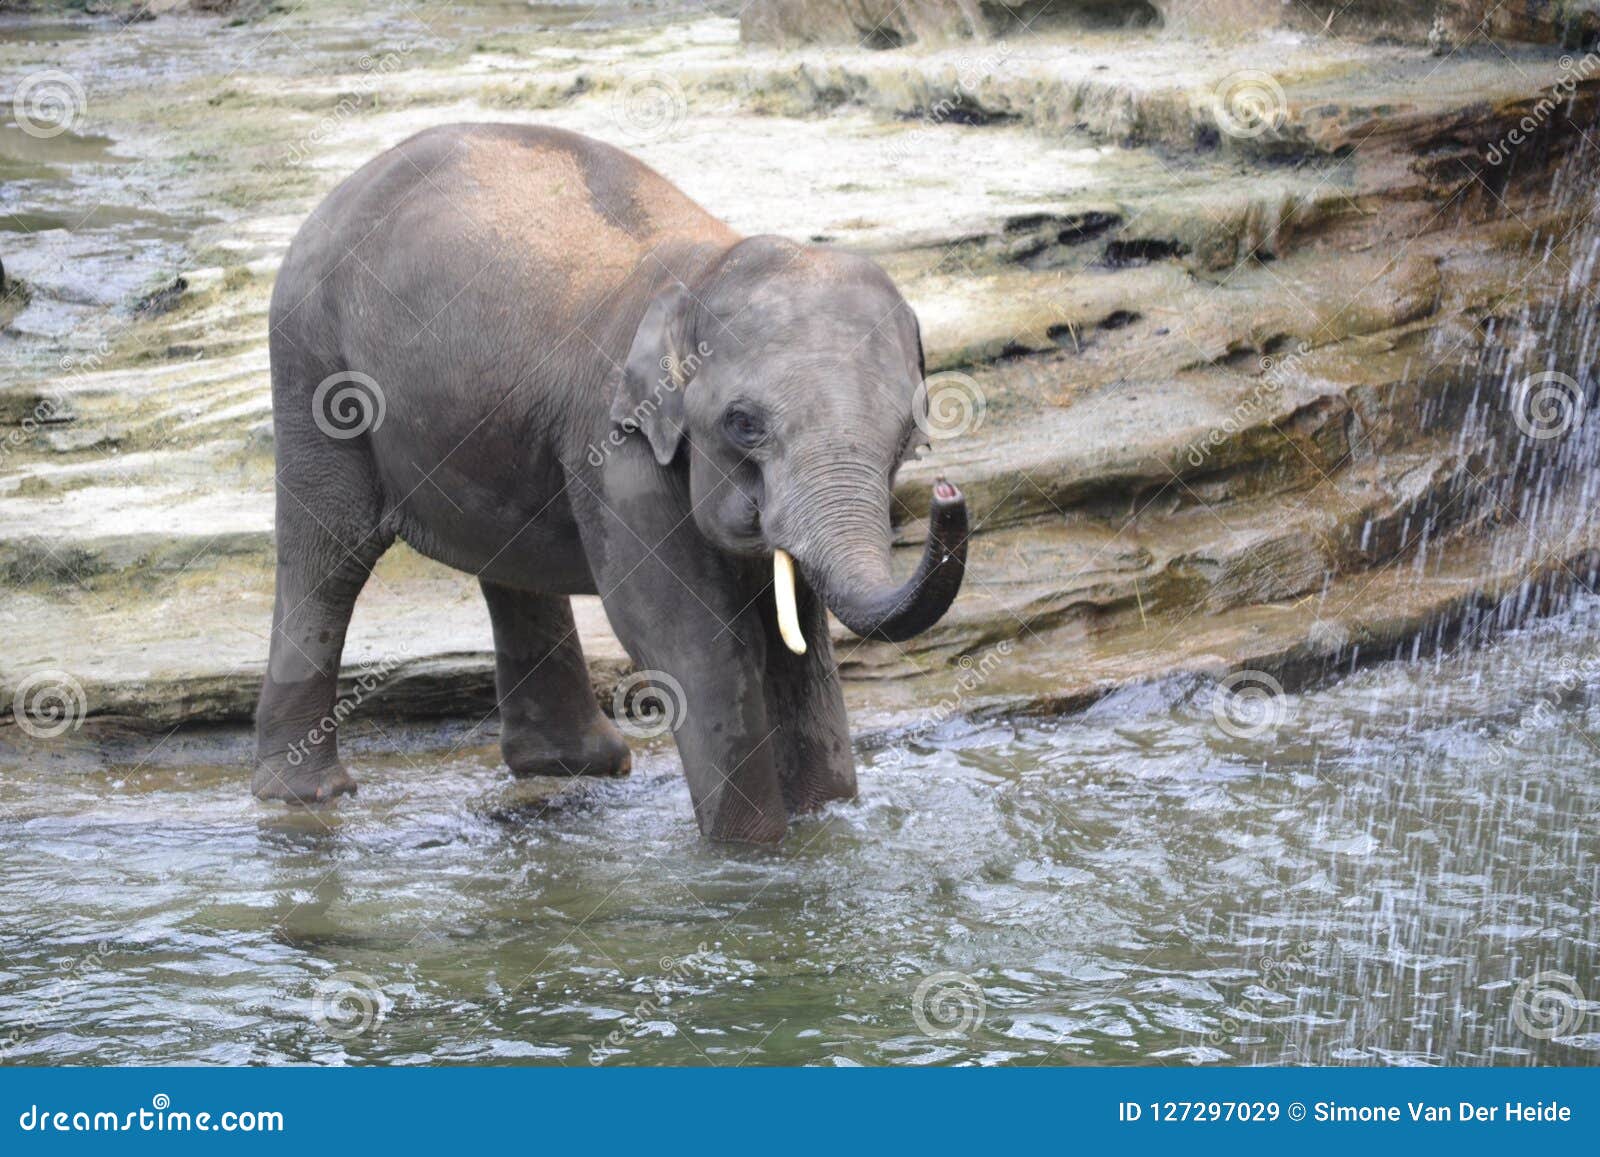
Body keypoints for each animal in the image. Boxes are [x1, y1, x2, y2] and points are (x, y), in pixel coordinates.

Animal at [253, 123, 968, 842]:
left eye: (906, 439)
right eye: (742, 424)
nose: (948, 494)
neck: (703, 269)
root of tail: (346, 184)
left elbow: (797, 642)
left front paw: (826, 825)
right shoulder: (616, 442)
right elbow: (684, 636)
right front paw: (753, 851)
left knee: (509, 568)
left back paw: (577, 766)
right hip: (316, 367)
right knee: (330, 559)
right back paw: (307, 795)